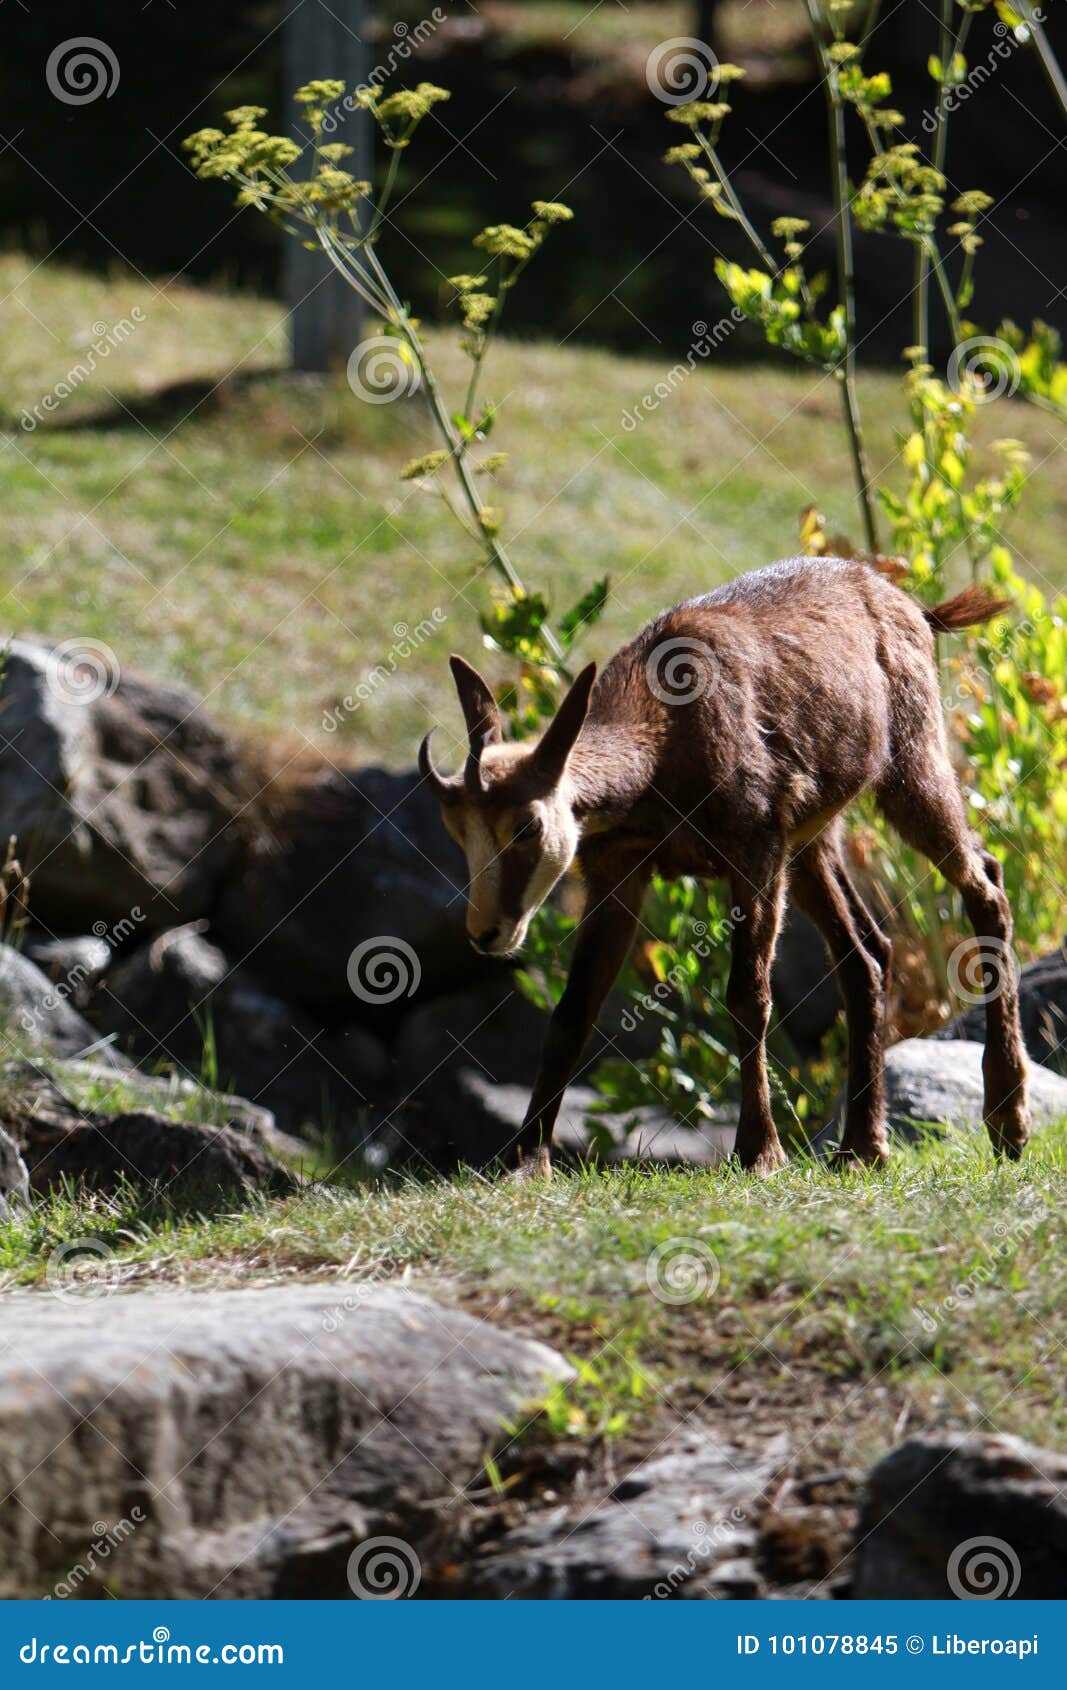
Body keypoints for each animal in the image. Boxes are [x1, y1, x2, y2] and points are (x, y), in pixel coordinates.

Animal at [419, 556, 1030, 1180]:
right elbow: (573, 1010)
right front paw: (525, 1159)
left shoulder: (752, 850)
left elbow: (747, 997)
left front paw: (759, 1150)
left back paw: (1007, 1123)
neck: (665, 740)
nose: (487, 932)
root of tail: (913, 608)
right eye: (456, 830)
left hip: (911, 764)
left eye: (527, 826)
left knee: (986, 882)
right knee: (867, 953)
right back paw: (862, 1146)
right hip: (811, 842)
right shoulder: (619, 872)